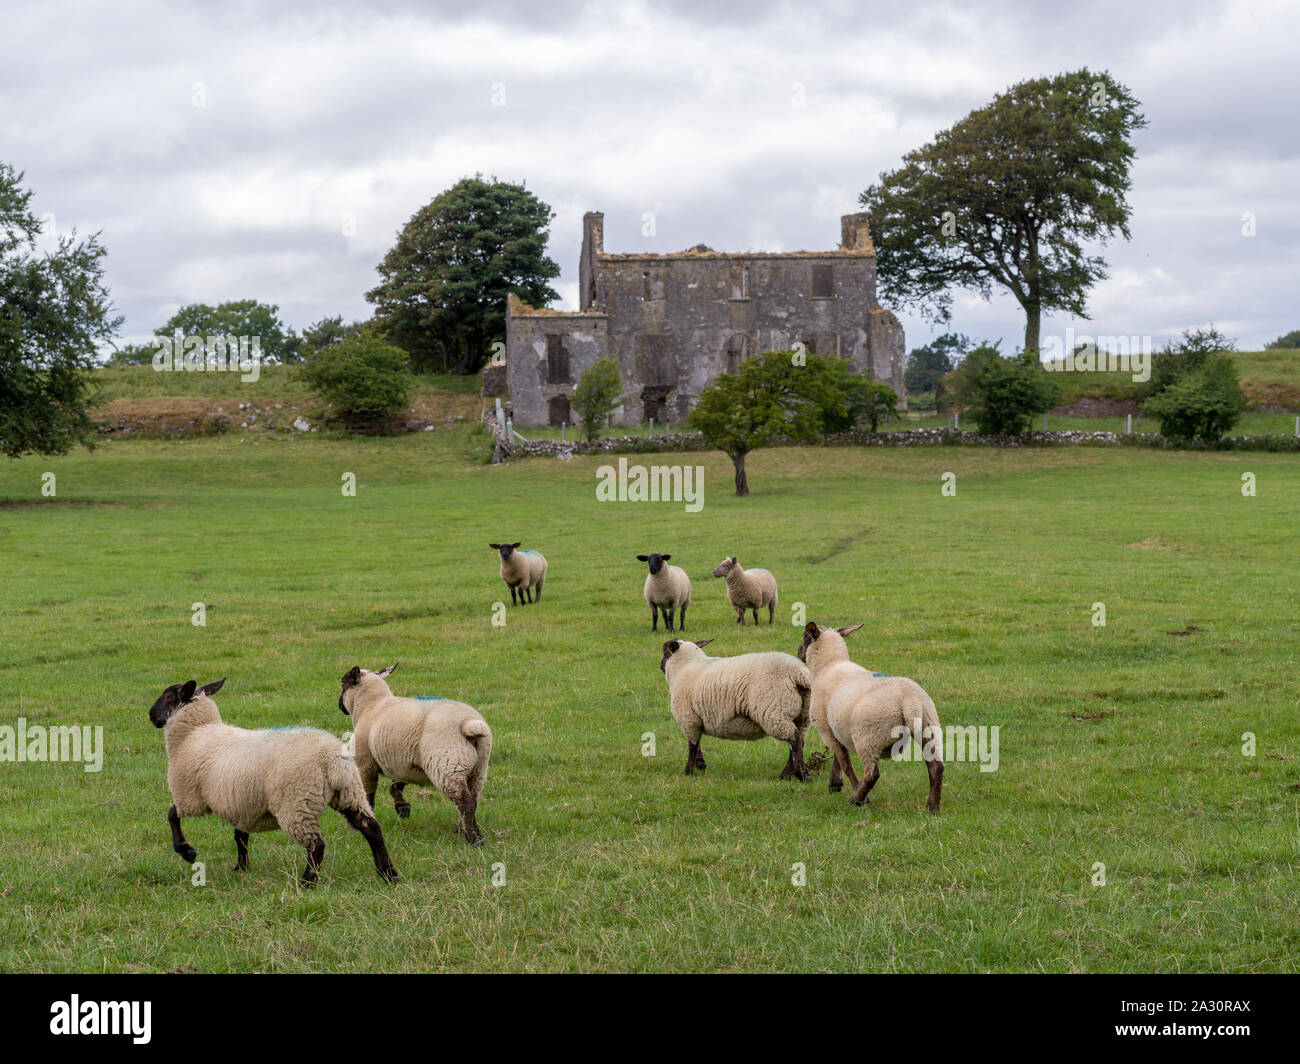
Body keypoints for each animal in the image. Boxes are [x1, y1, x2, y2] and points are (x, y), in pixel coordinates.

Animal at [148, 677, 398, 887]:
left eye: (168, 696)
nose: (151, 716)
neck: (194, 733)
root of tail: (332, 759)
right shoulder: (241, 803)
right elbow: (240, 837)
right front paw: (241, 867)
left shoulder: (190, 797)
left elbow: (171, 814)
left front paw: (187, 851)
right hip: (350, 793)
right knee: (372, 828)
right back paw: (388, 873)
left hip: (296, 803)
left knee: (317, 845)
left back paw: (307, 882)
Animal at [338, 664, 492, 845]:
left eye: (343, 684)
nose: (339, 706)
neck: (371, 705)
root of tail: (468, 724)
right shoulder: (403, 763)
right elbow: (395, 785)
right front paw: (403, 809)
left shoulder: (365, 765)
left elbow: (368, 797)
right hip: (478, 770)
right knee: (473, 800)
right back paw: (465, 830)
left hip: (447, 766)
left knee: (465, 802)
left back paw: (473, 838)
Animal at [658, 638, 812, 780]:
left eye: (665, 651)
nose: (660, 665)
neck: (684, 666)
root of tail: (799, 673)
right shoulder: (695, 721)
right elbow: (697, 744)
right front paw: (700, 764)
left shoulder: (689, 720)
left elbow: (693, 746)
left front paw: (689, 771)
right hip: (802, 717)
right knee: (799, 742)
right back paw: (788, 774)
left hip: (775, 713)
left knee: (795, 741)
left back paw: (801, 775)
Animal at [797, 622, 944, 813]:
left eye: (805, 637)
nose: (798, 651)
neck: (829, 664)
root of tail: (908, 699)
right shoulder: (838, 727)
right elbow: (839, 760)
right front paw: (835, 784)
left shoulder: (826, 729)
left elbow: (845, 763)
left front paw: (847, 786)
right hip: (929, 726)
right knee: (936, 767)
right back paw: (932, 807)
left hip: (867, 737)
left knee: (872, 773)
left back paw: (857, 798)